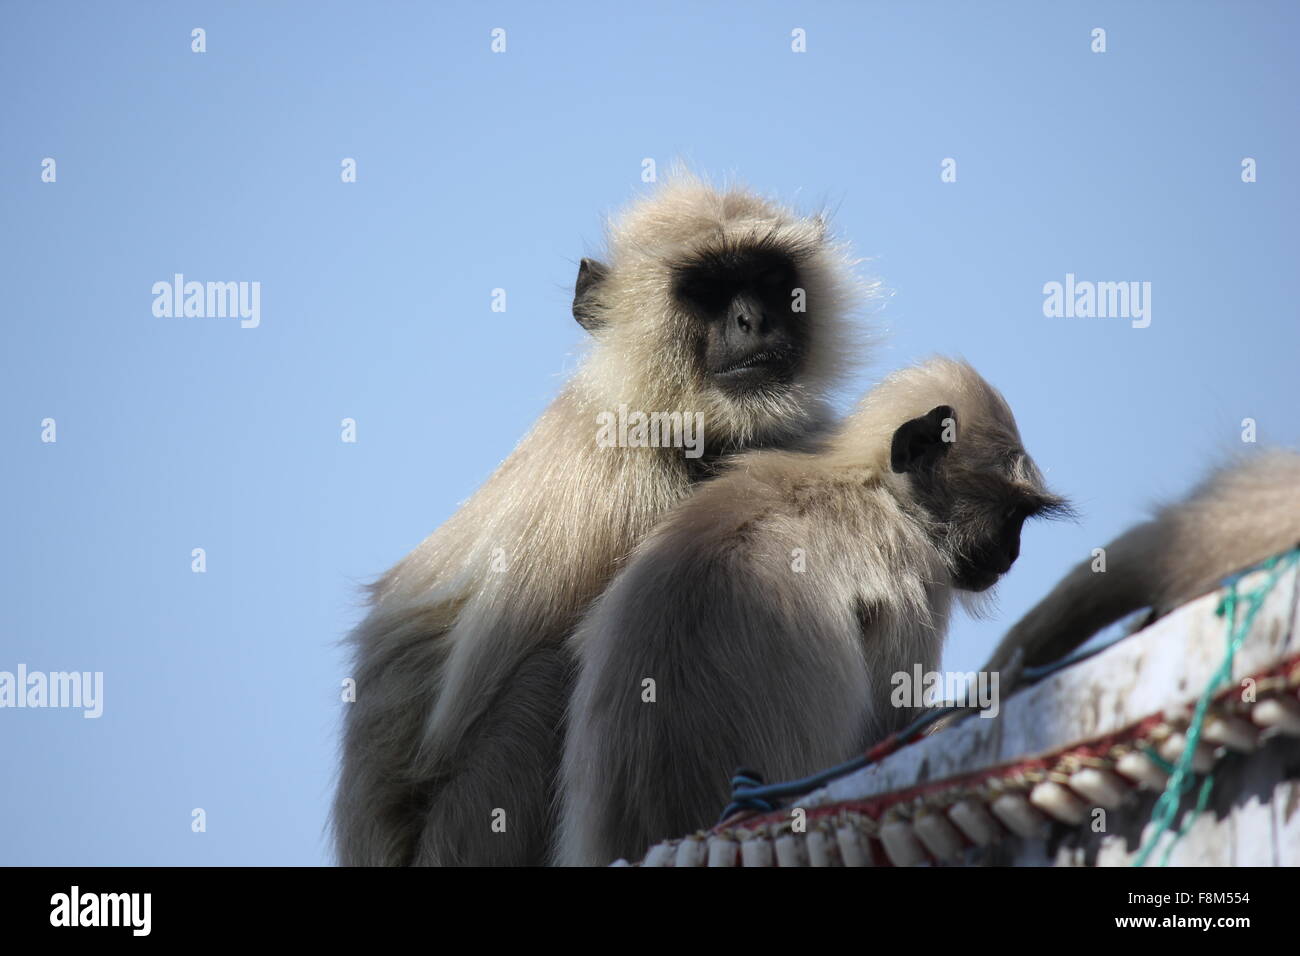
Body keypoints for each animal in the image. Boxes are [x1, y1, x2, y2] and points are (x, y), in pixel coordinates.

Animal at [332, 174, 868, 866]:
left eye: (772, 279)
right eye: (706, 290)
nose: (754, 319)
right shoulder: (621, 483)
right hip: (465, 833)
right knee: (546, 674)